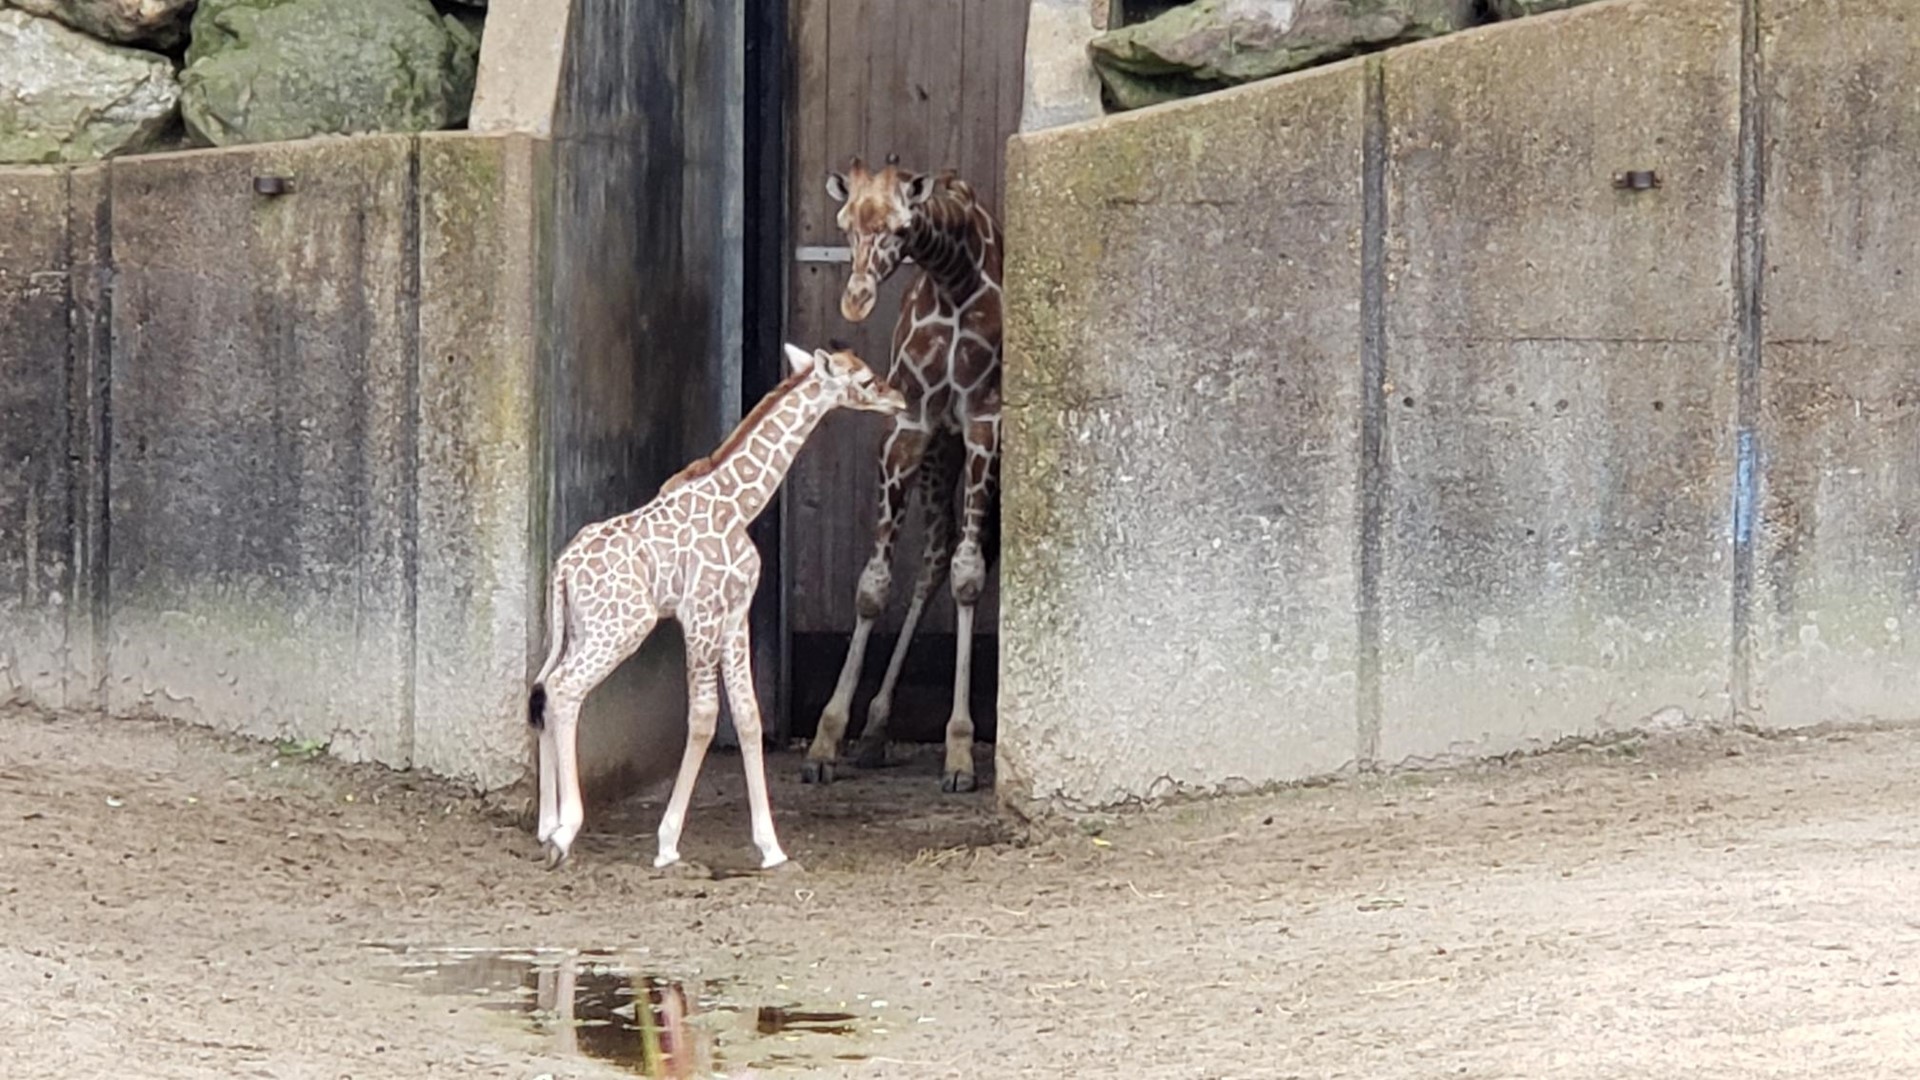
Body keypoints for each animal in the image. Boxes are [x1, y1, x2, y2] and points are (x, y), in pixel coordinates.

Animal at [528, 342, 905, 871]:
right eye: (867, 381)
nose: (901, 400)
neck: (739, 502)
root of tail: (563, 569)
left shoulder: (735, 616)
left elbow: (747, 716)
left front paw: (771, 848)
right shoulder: (702, 614)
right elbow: (705, 718)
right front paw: (667, 844)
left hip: (578, 628)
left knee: (544, 688)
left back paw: (547, 828)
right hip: (623, 626)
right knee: (564, 689)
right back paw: (565, 832)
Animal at [804, 156, 1004, 795]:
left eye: (899, 226)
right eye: (845, 223)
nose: (856, 301)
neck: (952, 278)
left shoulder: (985, 422)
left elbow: (969, 577)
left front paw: (960, 752)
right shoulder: (911, 426)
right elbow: (874, 586)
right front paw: (825, 740)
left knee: (961, 559)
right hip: (941, 451)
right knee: (934, 557)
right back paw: (873, 731)